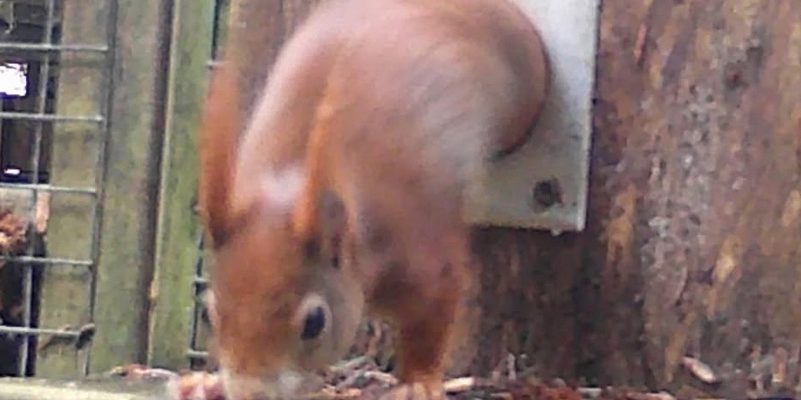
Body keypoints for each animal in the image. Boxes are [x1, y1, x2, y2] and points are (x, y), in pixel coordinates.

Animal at [193, 0, 547, 398]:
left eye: (315, 322)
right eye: (207, 314)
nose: (249, 391)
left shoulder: (422, 255)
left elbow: (434, 313)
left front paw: (419, 381)